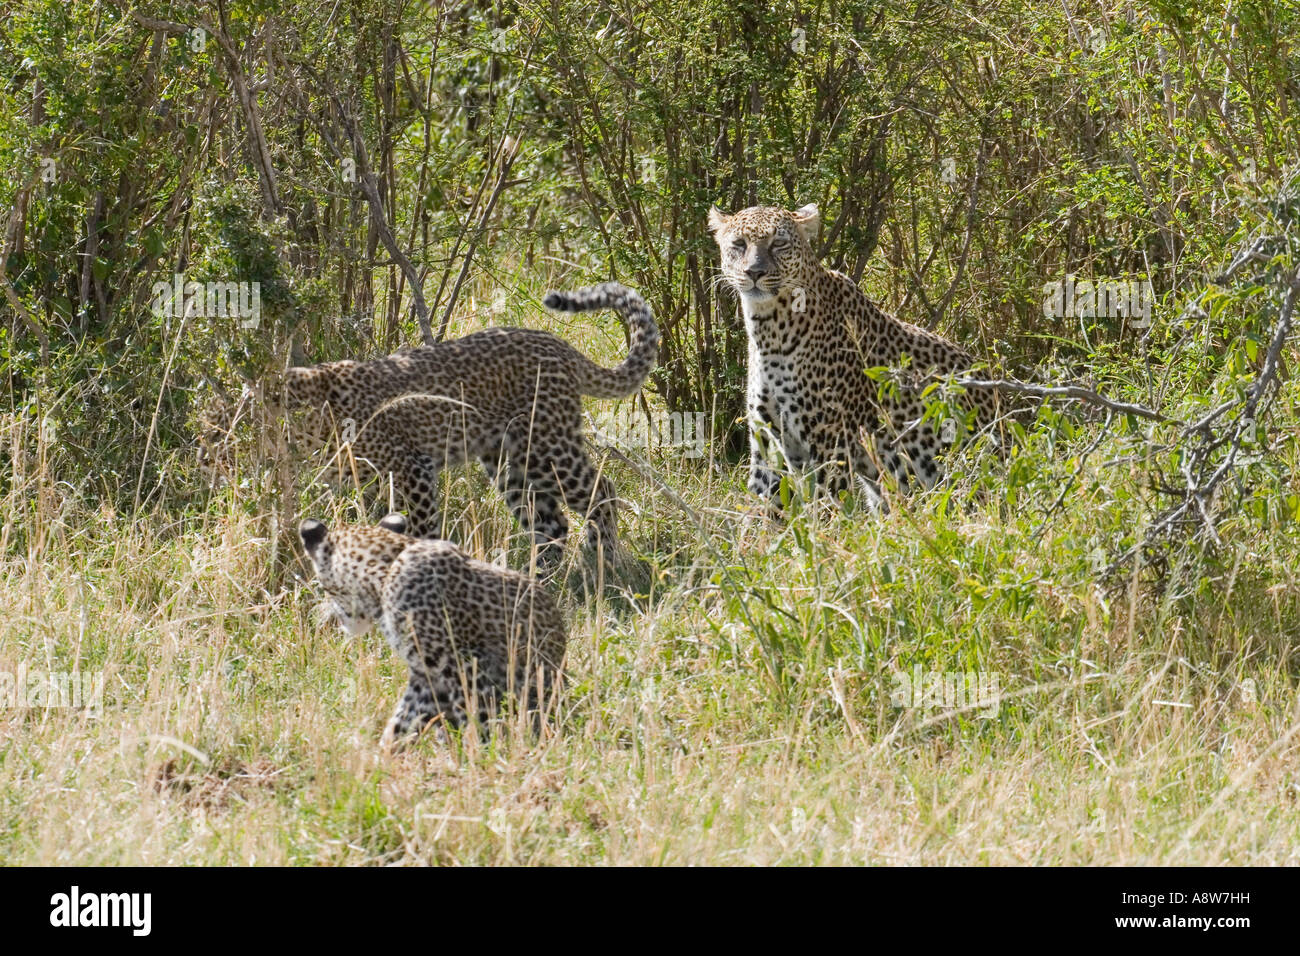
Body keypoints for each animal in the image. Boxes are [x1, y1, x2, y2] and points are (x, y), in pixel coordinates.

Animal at [285, 282, 659, 571]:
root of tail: (560, 346)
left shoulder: (413, 468)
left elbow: (420, 529)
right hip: (508, 462)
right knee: (551, 523)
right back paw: (540, 581)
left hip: (547, 448)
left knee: (603, 491)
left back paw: (599, 561)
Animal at [299, 513, 567, 750]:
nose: (337, 617)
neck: (383, 576)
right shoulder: (425, 675)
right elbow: (403, 719)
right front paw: (383, 756)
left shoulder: (466, 663)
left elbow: (475, 716)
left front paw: (480, 755)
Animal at [709, 202, 1025, 509]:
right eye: (739, 244)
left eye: (778, 243)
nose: (754, 272)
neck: (768, 330)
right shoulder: (766, 443)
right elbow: (761, 509)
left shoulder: (830, 442)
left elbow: (827, 507)